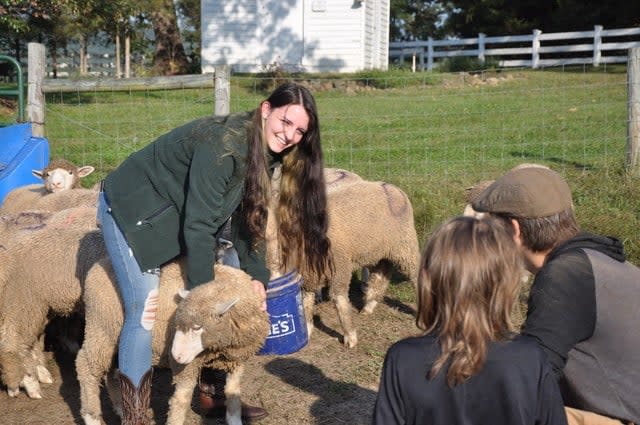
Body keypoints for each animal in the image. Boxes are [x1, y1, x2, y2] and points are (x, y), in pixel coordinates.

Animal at [0, 226, 106, 398]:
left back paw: (40, 374)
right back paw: (27, 385)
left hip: (36, 306)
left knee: (30, 342)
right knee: (13, 345)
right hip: (23, 301)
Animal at [75, 261, 269, 425]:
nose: (175, 355)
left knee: (111, 372)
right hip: (101, 329)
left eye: (198, 327)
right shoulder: (187, 365)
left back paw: (121, 409)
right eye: (177, 323)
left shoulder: (236, 358)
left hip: (112, 339)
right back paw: (92, 417)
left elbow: (233, 393)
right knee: (85, 366)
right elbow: (181, 400)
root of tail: (96, 267)